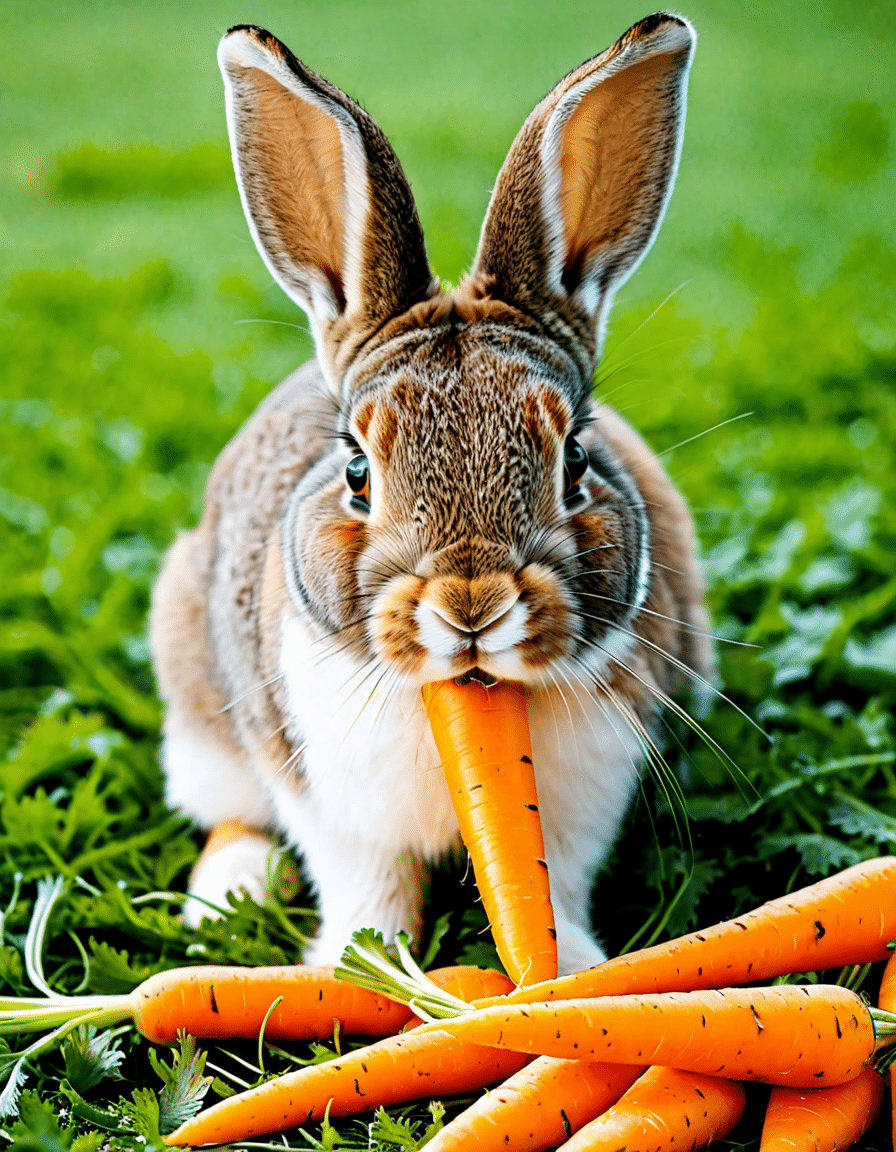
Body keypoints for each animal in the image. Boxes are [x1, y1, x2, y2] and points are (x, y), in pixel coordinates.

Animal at [150, 11, 714, 978]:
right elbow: (365, 884)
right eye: (356, 472)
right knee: (227, 810)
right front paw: (355, 966)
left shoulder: (587, 801)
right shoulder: (325, 794)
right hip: (198, 704)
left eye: (574, 460)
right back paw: (226, 898)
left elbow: (554, 886)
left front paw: (573, 973)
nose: (472, 604)